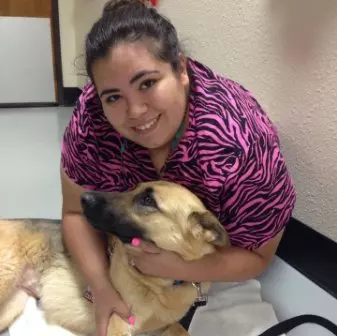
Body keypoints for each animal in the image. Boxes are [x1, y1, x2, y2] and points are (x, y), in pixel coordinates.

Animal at [0, 182, 228, 334]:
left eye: (148, 200)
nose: (84, 197)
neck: (160, 286)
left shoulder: (162, 327)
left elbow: (182, 330)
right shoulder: (118, 324)